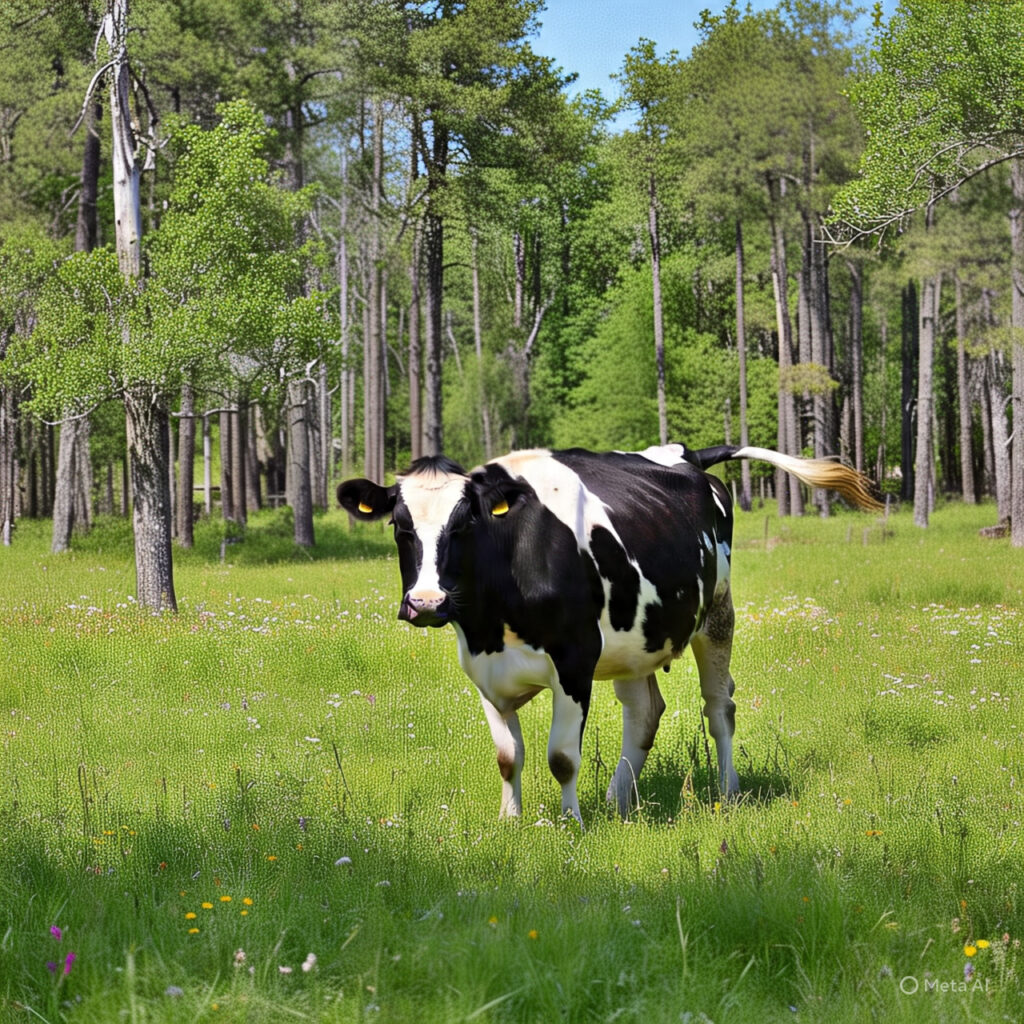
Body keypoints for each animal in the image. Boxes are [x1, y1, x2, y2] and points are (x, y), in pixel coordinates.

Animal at [338, 443, 882, 822]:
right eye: (399, 526)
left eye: (465, 523)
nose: (427, 603)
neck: (495, 619)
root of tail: (687, 454)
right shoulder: (482, 667)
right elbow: (508, 757)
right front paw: (509, 822)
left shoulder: (575, 661)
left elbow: (561, 757)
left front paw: (570, 823)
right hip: (634, 641)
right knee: (645, 713)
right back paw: (621, 801)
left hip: (717, 613)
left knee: (718, 706)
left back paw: (727, 792)